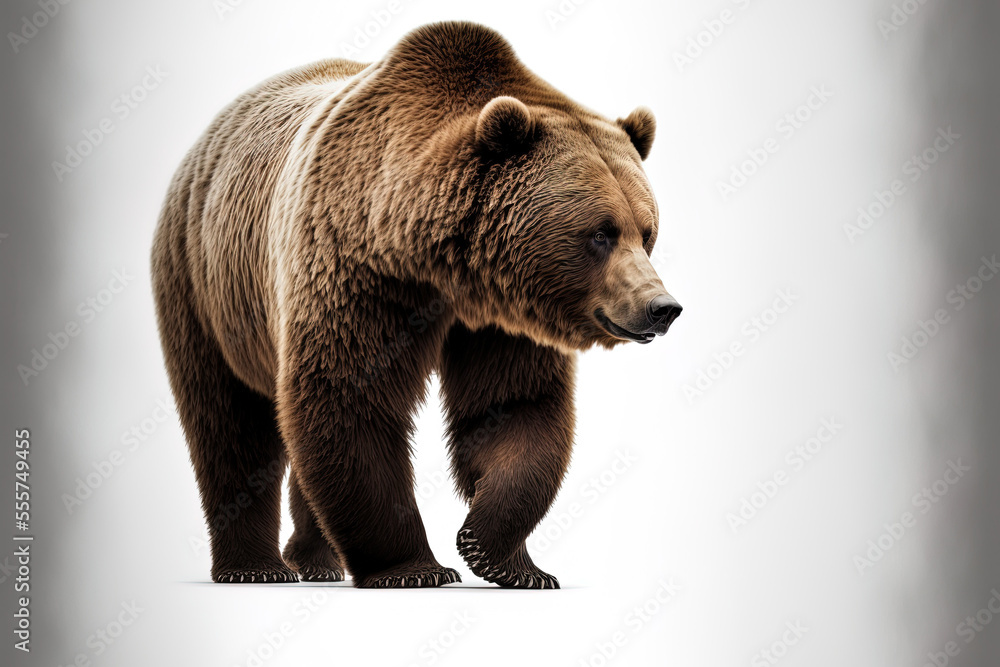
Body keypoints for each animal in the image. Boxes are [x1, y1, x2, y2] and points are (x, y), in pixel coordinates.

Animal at [151, 21, 682, 589]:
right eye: (601, 233)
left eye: (646, 232)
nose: (662, 307)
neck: (438, 260)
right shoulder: (360, 271)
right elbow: (350, 398)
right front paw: (415, 568)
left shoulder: (501, 318)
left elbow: (514, 407)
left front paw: (504, 555)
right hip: (203, 280)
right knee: (229, 423)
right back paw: (255, 567)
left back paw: (315, 559)